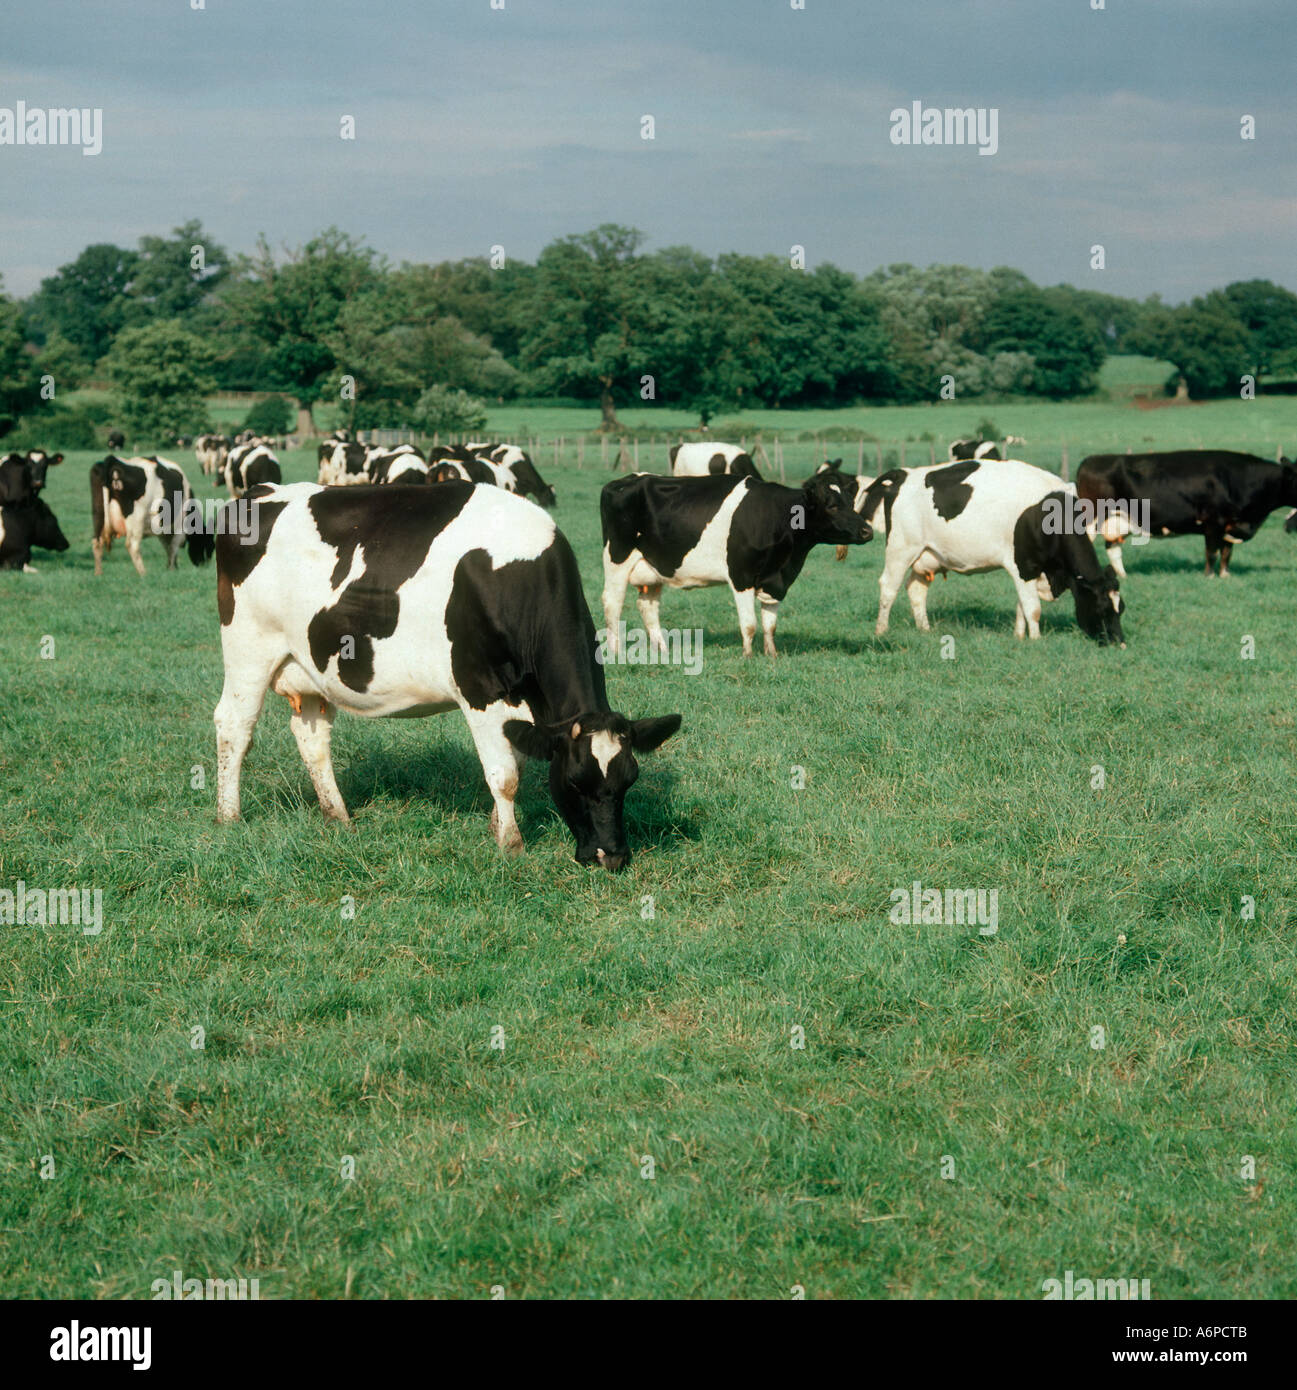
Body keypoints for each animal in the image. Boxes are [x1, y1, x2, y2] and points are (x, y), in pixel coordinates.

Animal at [213, 481, 681, 868]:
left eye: (629, 780)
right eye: (574, 781)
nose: (611, 856)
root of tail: (259, 493)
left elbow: (517, 759)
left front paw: (496, 826)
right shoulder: (480, 689)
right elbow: (505, 775)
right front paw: (511, 844)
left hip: (310, 668)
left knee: (311, 739)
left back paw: (338, 816)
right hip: (248, 650)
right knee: (233, 726)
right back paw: (228, 816)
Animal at [601, 469, 872, 658]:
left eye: (852, 503)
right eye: (832, 506)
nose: (867, 531)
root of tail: (624, 480)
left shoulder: (776, 581)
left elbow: (770, 625)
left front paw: (772, 655)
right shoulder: (741, 575)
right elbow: (750, 624)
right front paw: (747, 656)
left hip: (654, 567)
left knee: (647, 605)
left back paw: (663, 650)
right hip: (617, 559)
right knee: (612, 602)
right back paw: (616, 651)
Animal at [866, 459, 1125, 644]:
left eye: (1121, 608)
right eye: (1101, 609)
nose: (1119, 643)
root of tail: (906, 474)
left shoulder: (1030, 570)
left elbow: (1021, 606)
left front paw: (1019, 636)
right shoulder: (1023, 566)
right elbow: (1033, 609)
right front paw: (1036, 639)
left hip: (927, 556)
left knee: (916, 590)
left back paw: (925, 629)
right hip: (901, 549)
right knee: (888, 587)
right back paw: (881, 631)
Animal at [1075, 450, 1297, 578]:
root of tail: (1091, 460)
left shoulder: (1230, 524)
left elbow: (1227, 553)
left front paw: (1225, 576)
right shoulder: (1213, 521)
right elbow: (1212, 552)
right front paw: (1209, 577)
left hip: (1116, 521)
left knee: (1113, 548)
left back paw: (1123, 576)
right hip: (1091, 518)